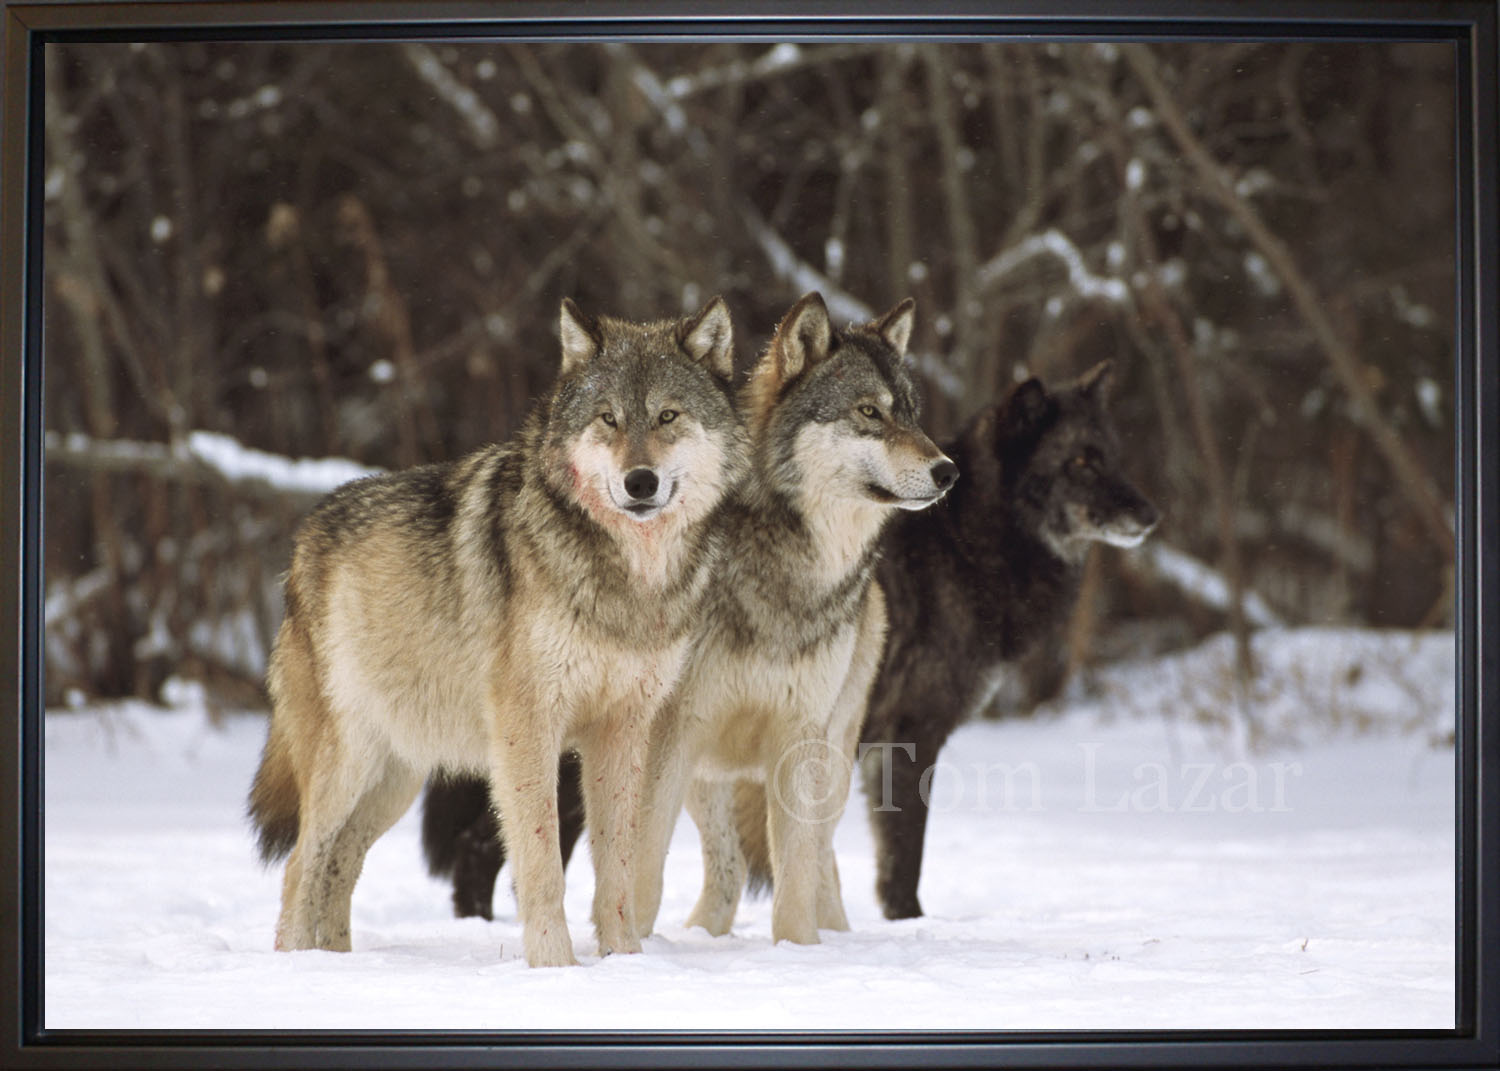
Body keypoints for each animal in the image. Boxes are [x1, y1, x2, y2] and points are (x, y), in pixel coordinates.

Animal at [246, 296, 749, 967]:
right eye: (609, 419)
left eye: (668, 415)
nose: (639, 482)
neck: (628, 579)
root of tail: (302, 541)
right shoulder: (528, 728)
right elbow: (541, 862)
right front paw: (556, 966)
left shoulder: (623, 729)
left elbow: (618, 866)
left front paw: (624, 961)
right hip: (346, 765)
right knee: (301, 864)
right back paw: (300, 965)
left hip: (394, 780)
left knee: (339, 865)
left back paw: (341, 961)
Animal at [715, 360, 1160, 921]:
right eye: (1081, 461)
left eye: (1113, 457)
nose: (1151, 516)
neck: (966, 543)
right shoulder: (913, 734)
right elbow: (904, 857)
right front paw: (909, 923)